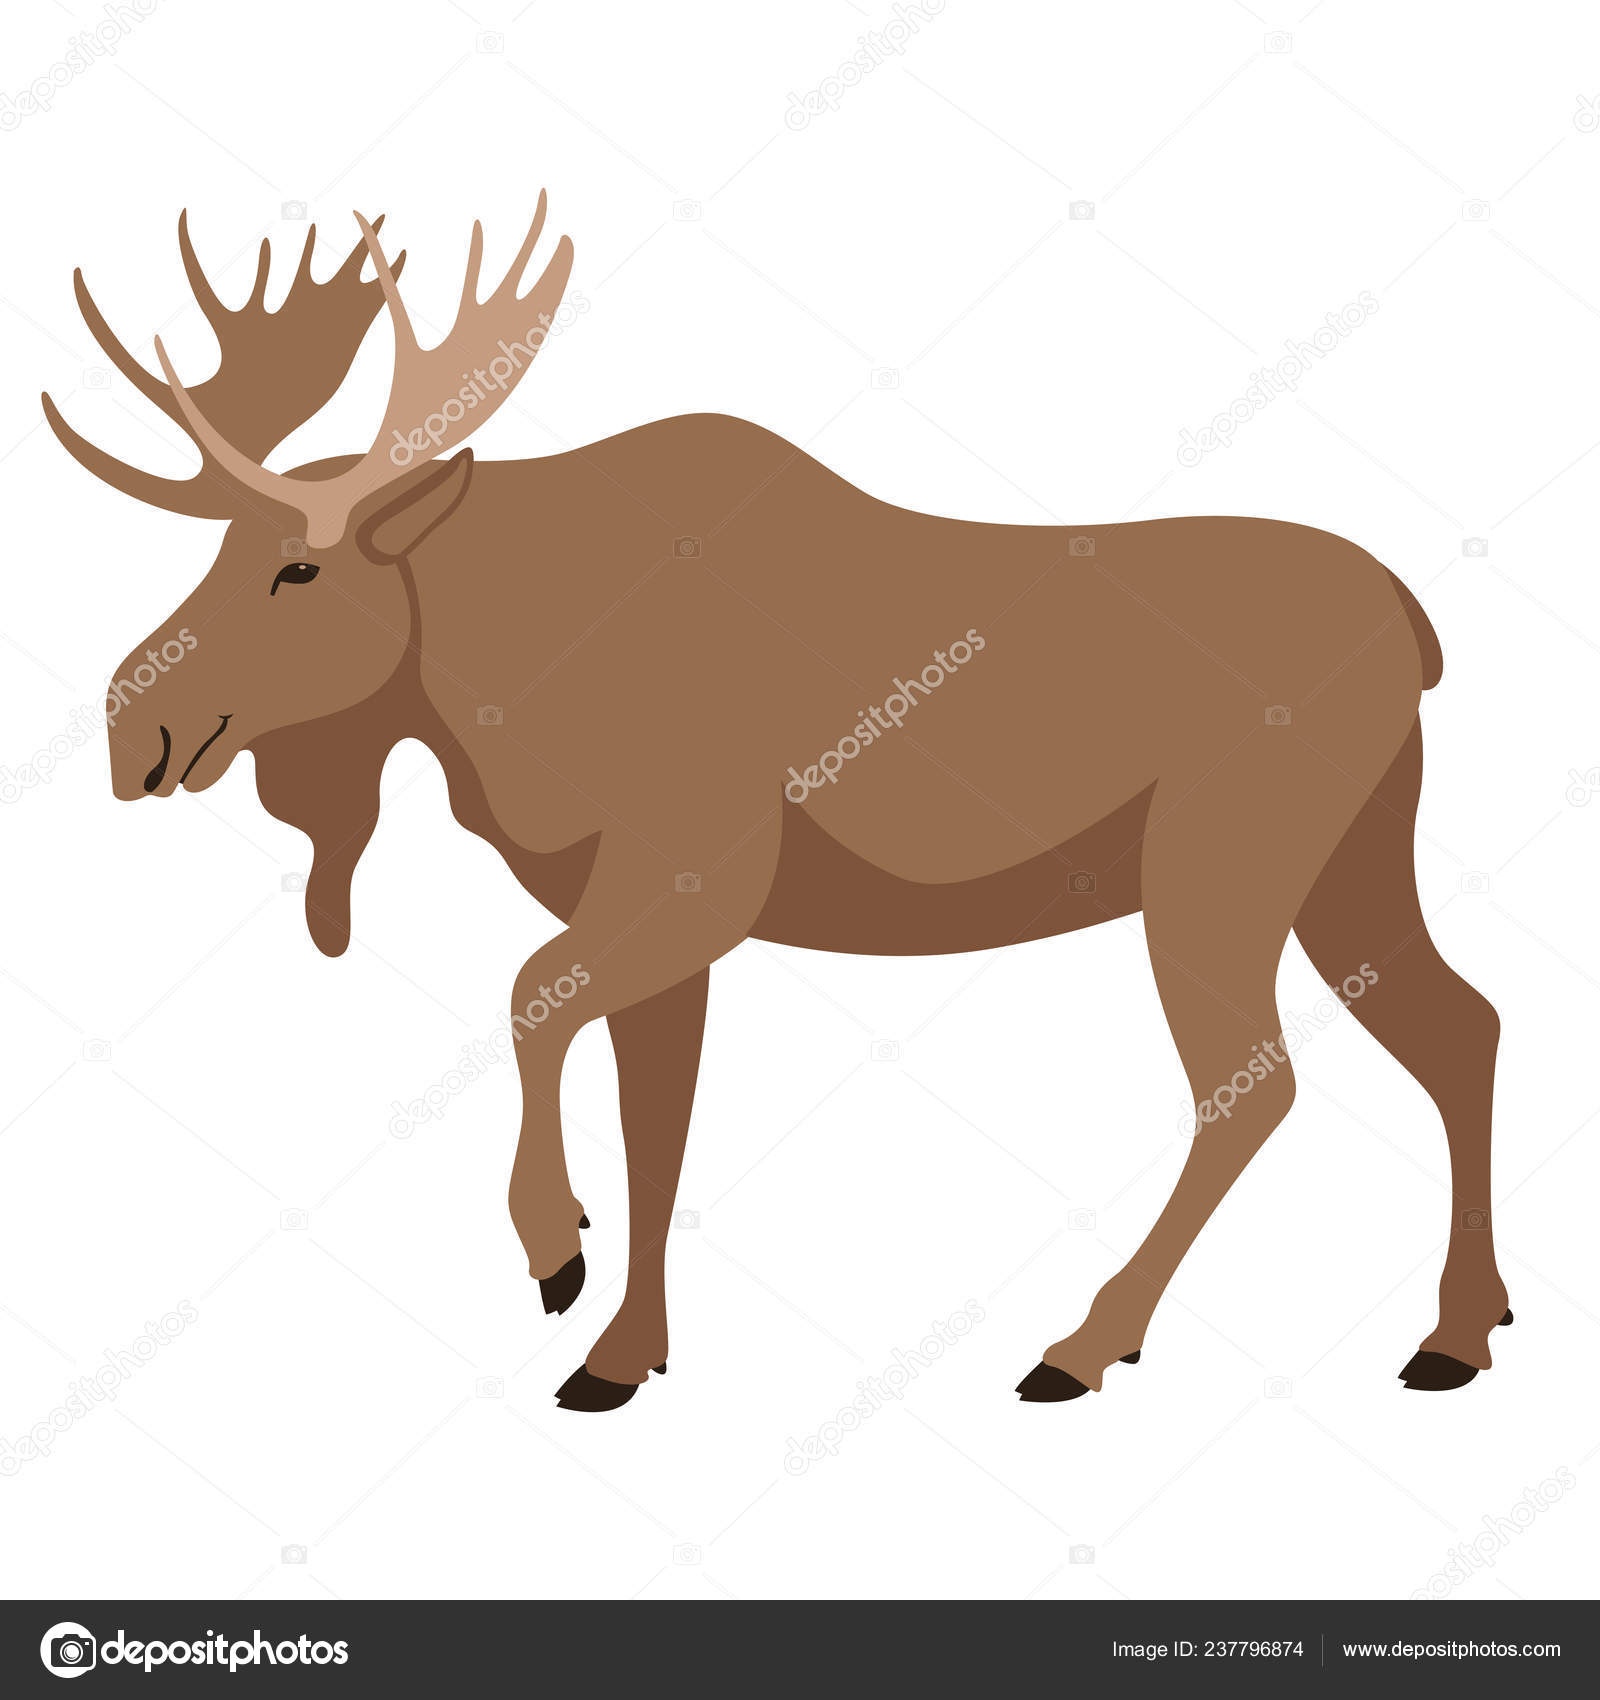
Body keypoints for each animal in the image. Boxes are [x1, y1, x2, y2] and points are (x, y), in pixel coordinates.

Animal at [45, 199, 1510, 1412]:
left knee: (1252, 1086)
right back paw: (1457, 1330)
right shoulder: (666, 922)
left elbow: (529, 1000)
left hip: (1220, 864)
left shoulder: (696, 875)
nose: (132, 723)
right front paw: (624, 1354)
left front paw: (551, 1247)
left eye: (297, 567)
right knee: (1463, 1027)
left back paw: (1084, 1342)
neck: (492, 684)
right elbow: (656, 1132)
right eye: (215, 550)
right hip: (1346, 863)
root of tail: (1418, 625)